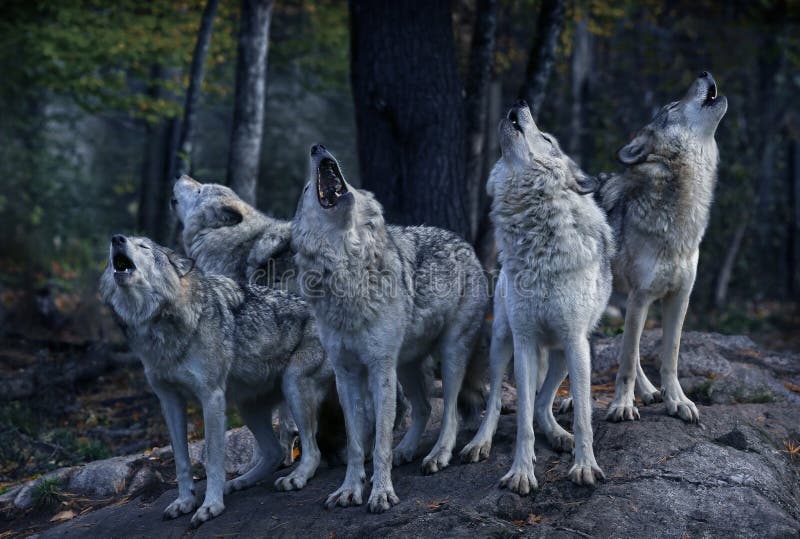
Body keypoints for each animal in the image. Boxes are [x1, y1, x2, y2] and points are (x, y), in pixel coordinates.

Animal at [99, 235, 332, 526]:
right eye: (124, 240)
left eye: (144, 246)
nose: (116, 239)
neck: (161, 328)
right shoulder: (169, 402)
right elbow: (181, 460)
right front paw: (184, 502)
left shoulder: (210, 397)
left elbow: (212, 459)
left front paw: (210, 506)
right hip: (247, 407)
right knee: (274, 451)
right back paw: (240, 483)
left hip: (293, 386)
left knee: (312, 449)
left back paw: (296, 477)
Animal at [291, 144, 489, 512]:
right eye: (308, 189)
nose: (316, 147)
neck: (348, 268)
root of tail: (463, 241)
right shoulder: (347, 375)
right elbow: (357, 444)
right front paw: (349, 489)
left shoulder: (380, 369)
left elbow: (380, 440)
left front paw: (381, 492)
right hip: (407, 366)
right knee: (425, 408)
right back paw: (406, 450)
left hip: (450, 355)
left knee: (451, 411)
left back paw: (438, 455)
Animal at [462, 101, 612, 493]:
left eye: (545, 138)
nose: (519, 103)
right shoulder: (525, 340)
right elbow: (521, 421)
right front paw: (521, 472)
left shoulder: (575, 342)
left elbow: (583, 417)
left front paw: (585, 466)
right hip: (502, 342)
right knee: (498, 402)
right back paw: (480, 443)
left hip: (566, 352)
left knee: (545, 403)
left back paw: (560, 436)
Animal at [600, 71, 728, 424]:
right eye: (672, 106)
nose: (704, 72)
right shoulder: (642, 296)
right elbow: (627, 362)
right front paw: (621, 405)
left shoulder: (678, 298)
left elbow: (669, 357)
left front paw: (678, 402)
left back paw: (649, 392)